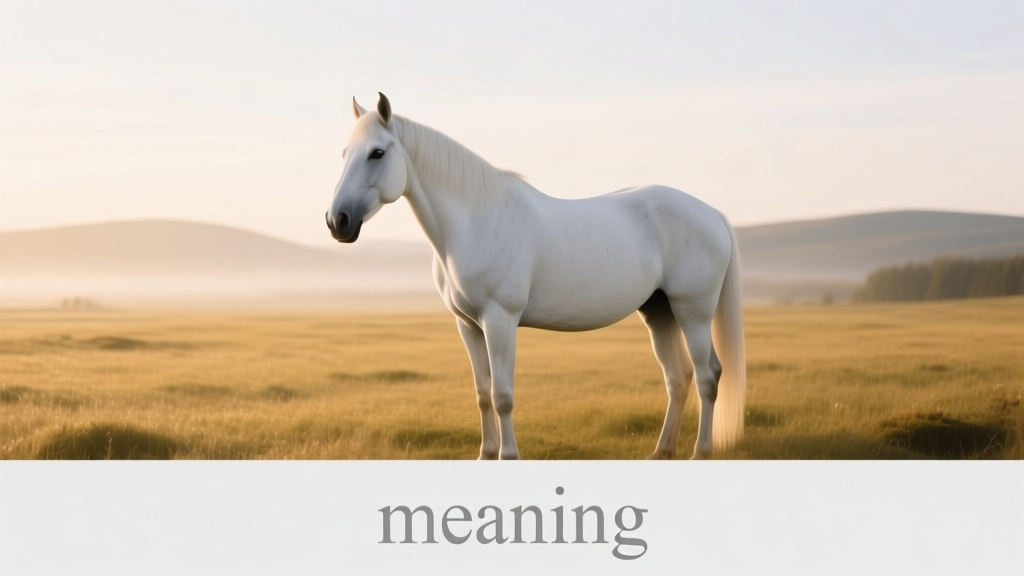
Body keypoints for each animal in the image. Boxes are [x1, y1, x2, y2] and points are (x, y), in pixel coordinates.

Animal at [326, 93, 746, 460]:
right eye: (345, 154)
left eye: (377, 153)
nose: (337, 221)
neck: (472, 222)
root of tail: (711, 212)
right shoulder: (468, 326)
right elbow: (483, 394)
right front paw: (485, 454)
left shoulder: (499, 320)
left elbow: (502, 395)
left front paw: (508, 456)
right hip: (659, 312)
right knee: (678, 378)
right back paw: (662, 451)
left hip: (692, 312)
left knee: (708, 376)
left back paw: (700, 451)